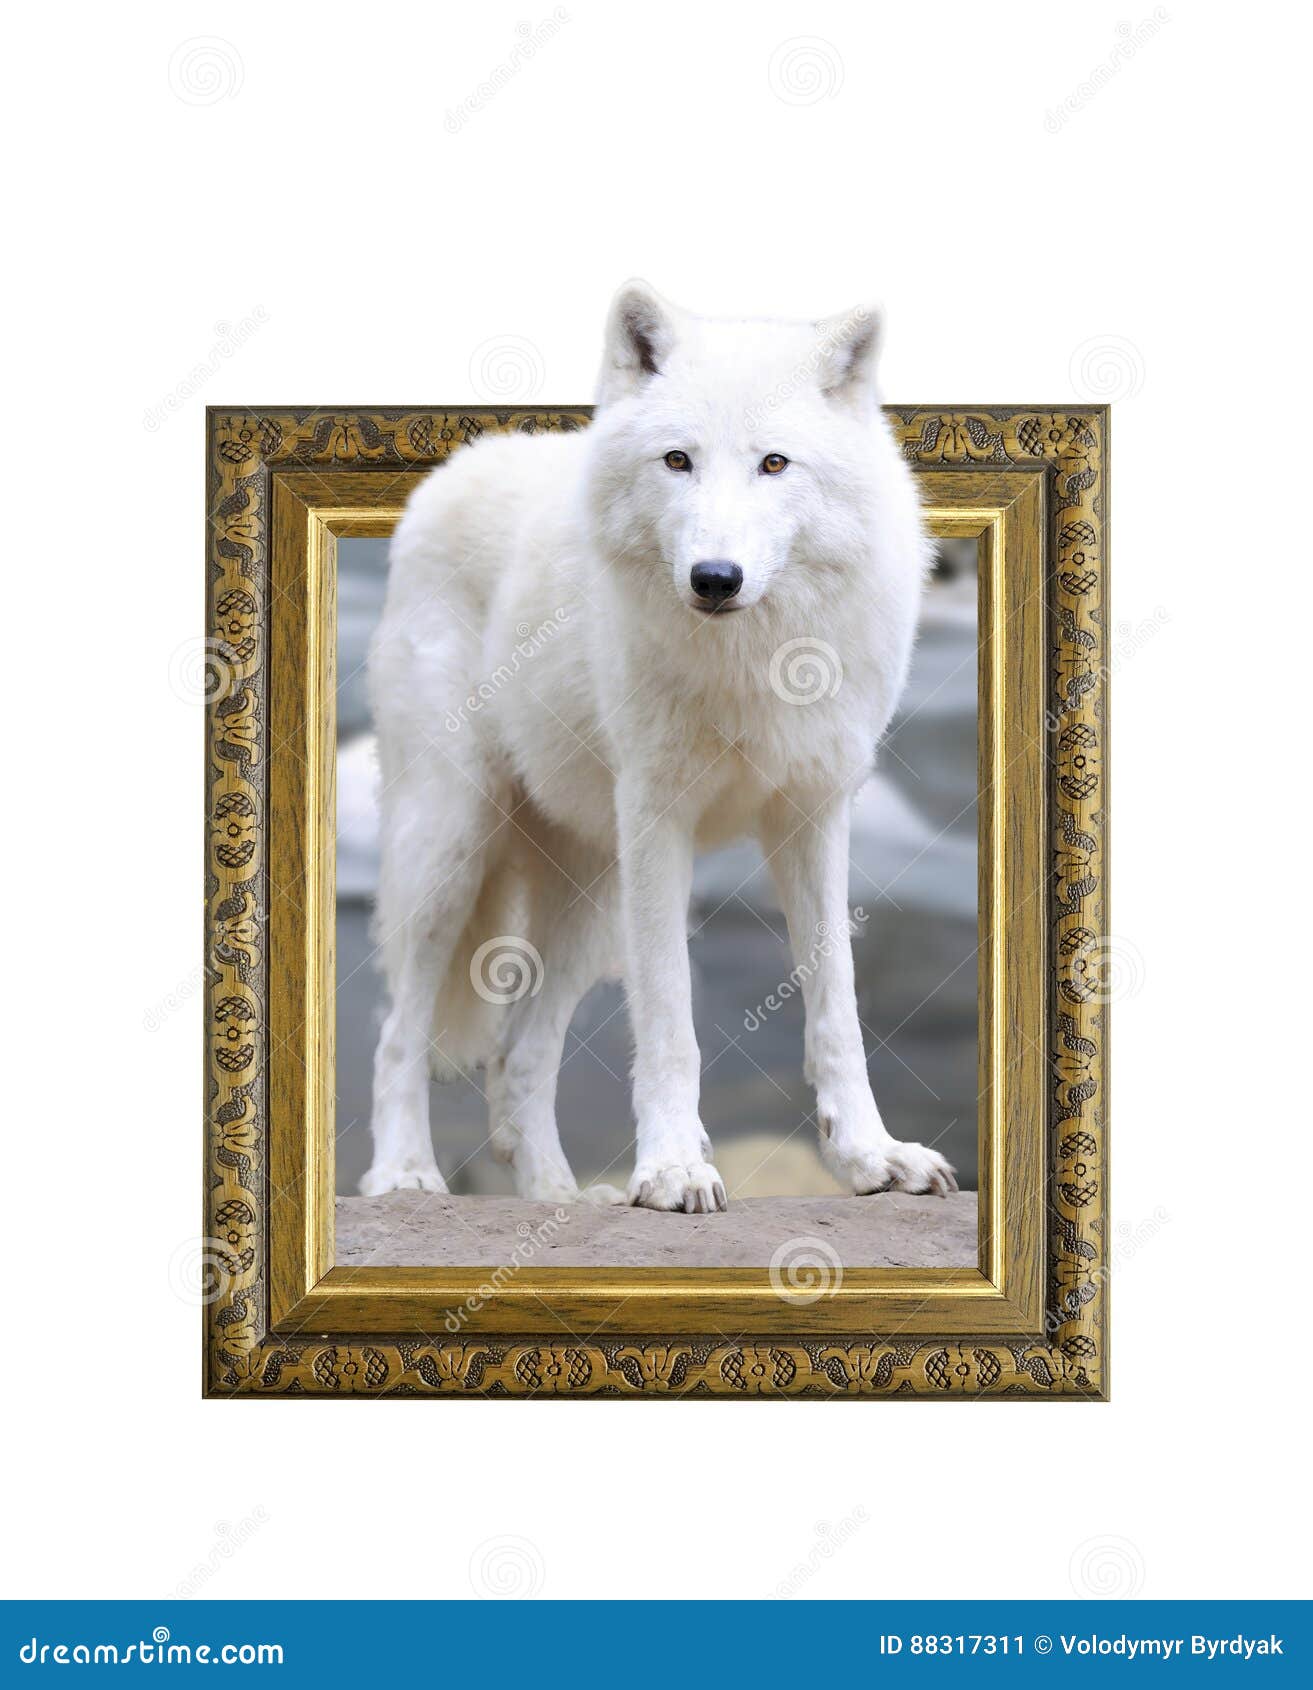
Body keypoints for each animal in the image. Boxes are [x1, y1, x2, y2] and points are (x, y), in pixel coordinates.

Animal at [360, 282, 957, 1211]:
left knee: (517, 1056)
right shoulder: (658, 825)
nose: (714, 579)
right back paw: (405, 1174)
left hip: (589, 901)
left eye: (774, 464)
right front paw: (674, 1168)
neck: (755, 663)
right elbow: (672, 1019)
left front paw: (870, 1157)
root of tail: (455, 466)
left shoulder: (814, 817)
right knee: (399, 1030)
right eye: (677, 461)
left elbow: (836, 1008)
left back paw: (560, 1200)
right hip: (451, 851)